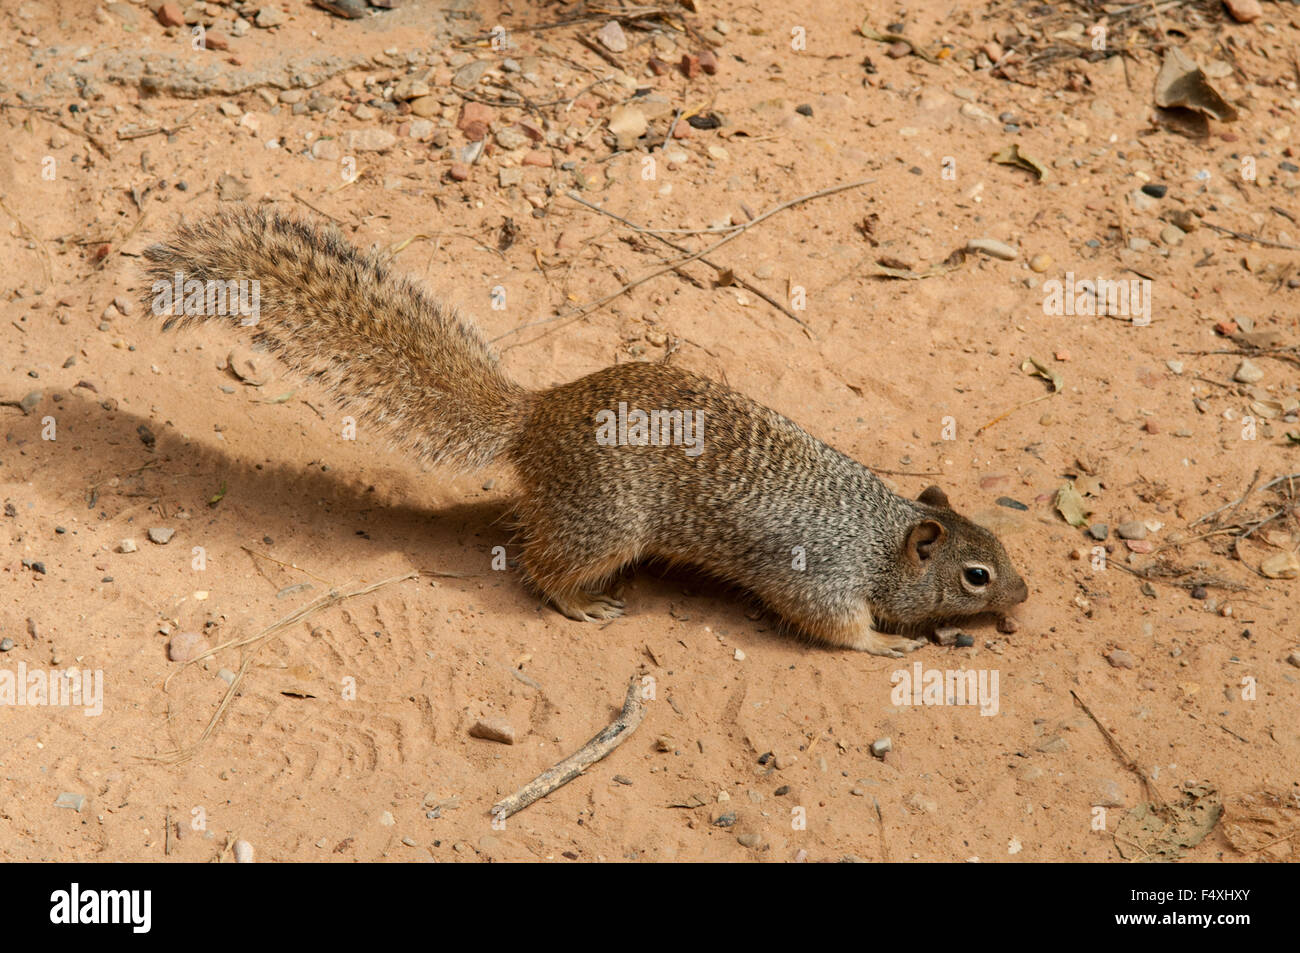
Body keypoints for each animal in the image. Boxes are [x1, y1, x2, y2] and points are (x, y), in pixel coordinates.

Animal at [140, 206, 1028, 657]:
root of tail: (536, 417)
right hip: (604, 524)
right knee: (541, 566)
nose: (1023, 594)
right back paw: (581, 605)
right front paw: (889, 644)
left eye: (1000, 557)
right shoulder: (821, 575)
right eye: (976, 574)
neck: (879, 533)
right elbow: (834, 625)